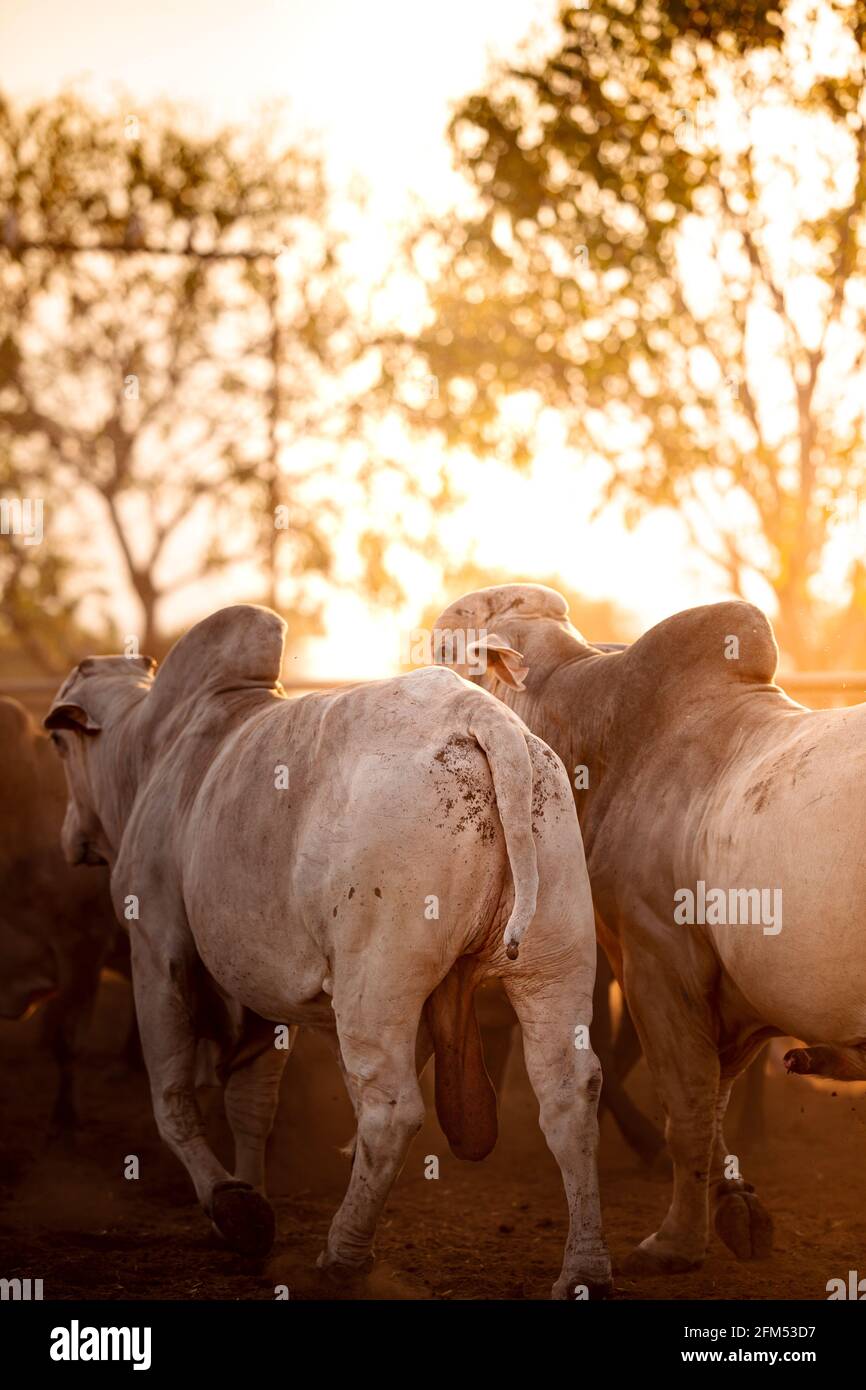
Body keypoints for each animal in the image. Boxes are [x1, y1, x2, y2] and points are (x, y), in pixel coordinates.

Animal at [44, 604, 611, 1298]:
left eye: (59, 744)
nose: (72, 837)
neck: (157, 753)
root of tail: (484, 719)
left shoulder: (157, 951)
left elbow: (172, 1100)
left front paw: (234, 1208)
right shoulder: (258, 997)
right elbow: (251, 1104)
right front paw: (253, 1194)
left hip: (375, 990)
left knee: (390, 1112)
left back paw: (343, 1256)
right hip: (555, 963)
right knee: (569, 1094)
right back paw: (585, 1269)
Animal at [433, 582, 866, 1277]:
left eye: (453, 648)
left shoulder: (657, 958)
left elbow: (687, 1107)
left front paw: (676, 1243)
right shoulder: (723, 988)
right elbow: (711, 1104)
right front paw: (735, 1206)